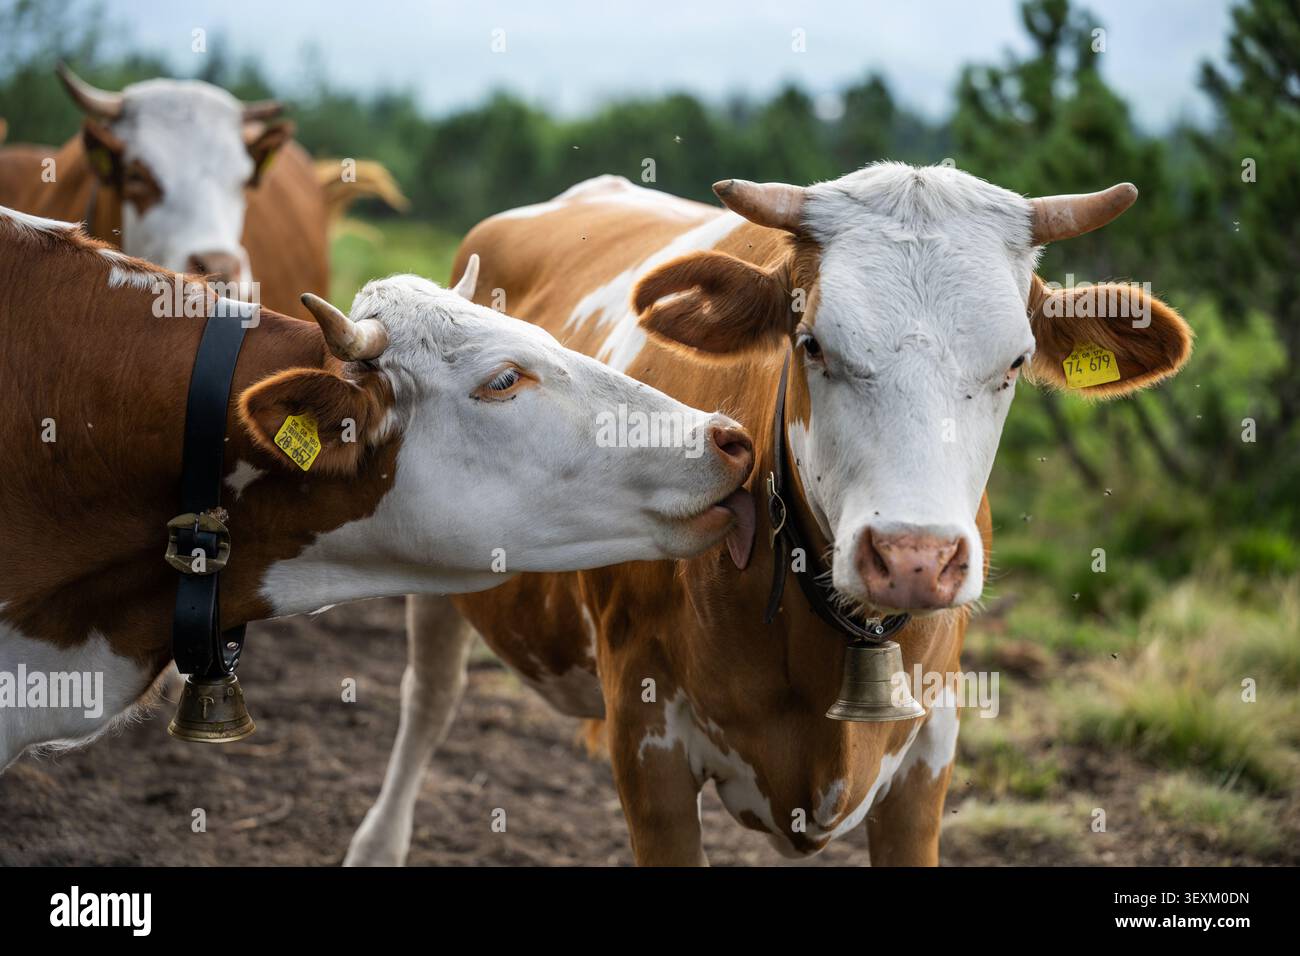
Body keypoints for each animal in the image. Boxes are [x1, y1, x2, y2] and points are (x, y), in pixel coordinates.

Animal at [345, 165, 1192, 866]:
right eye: (811, 343)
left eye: (1014, 362)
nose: (914, 557)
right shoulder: (648, 745)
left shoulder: (928, 758)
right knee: (430, 700)